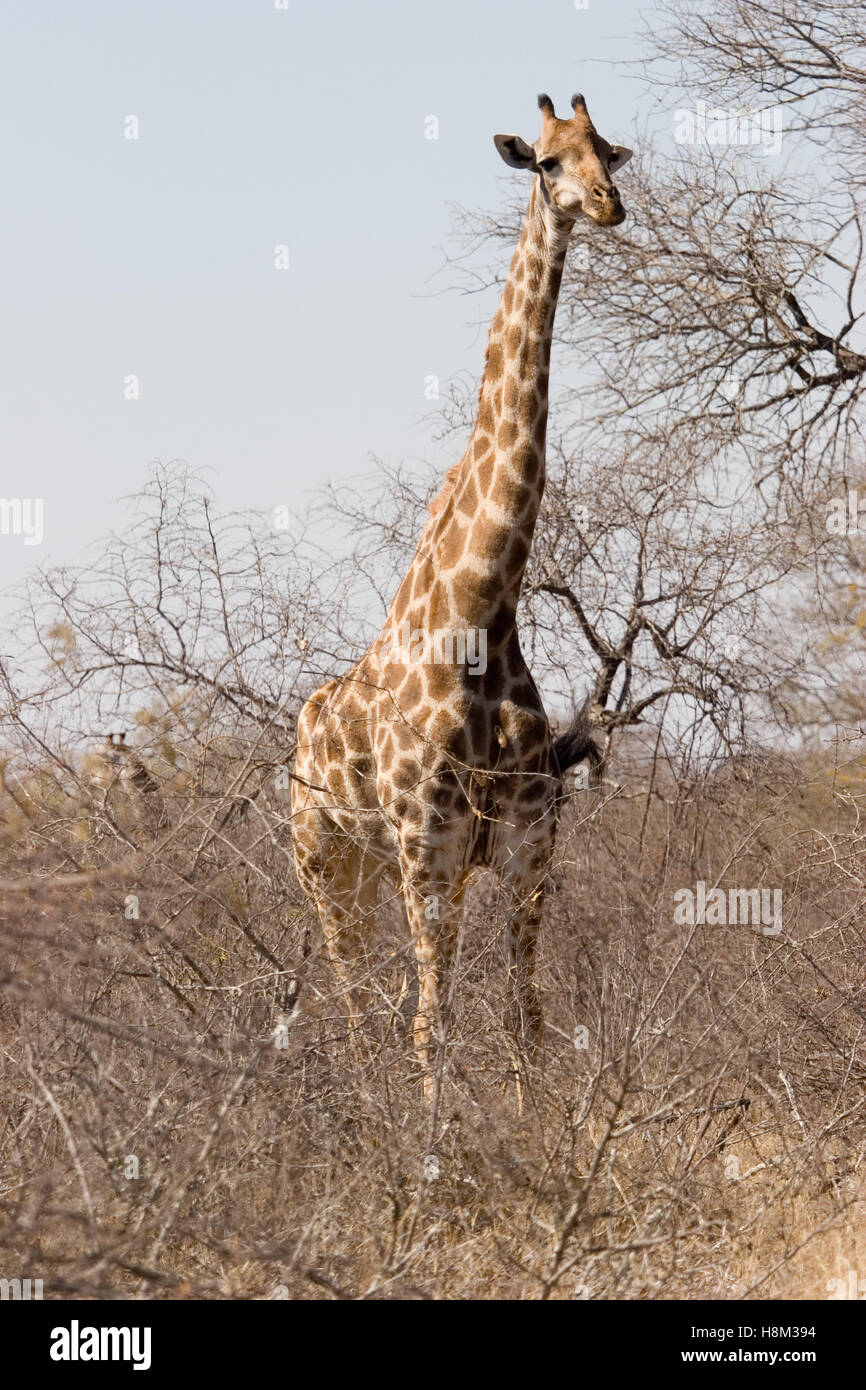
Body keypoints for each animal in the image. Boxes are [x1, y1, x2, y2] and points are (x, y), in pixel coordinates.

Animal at [292, 93, 631, 1094]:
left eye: (609, 153)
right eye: (546, 162)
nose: (607, 207)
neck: (482, 611)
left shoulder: (524, 848)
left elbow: (526, 1021)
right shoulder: (429, 851)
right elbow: (429, 1026)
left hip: (378, 874)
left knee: (371, 1004)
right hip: (329, 864)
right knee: (359, 1008)